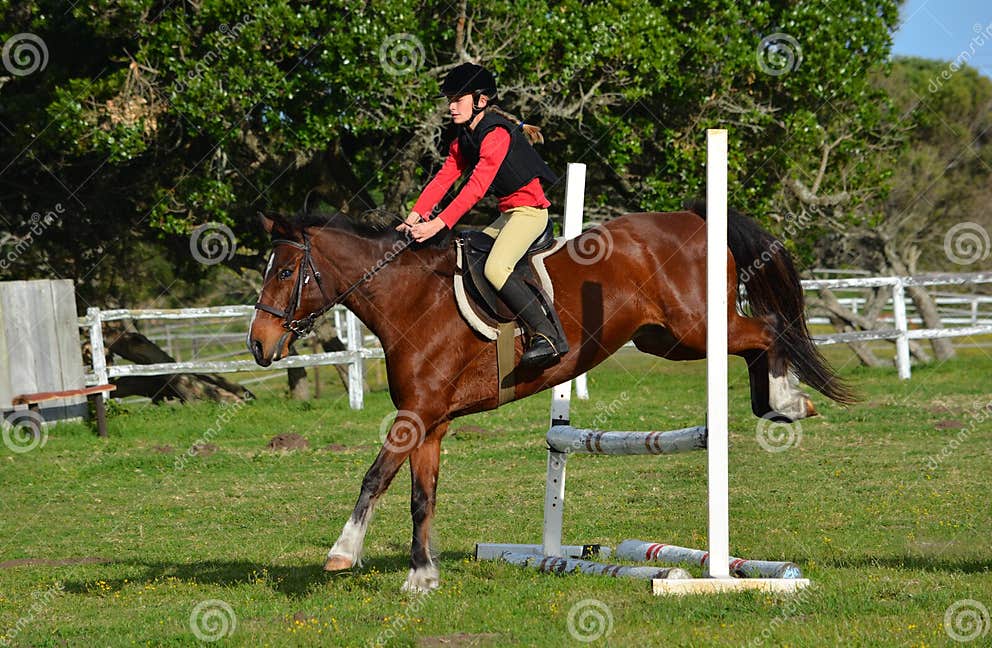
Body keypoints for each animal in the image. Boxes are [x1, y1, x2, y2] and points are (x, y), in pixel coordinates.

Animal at [247, 205, 854, 592]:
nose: (259, 345)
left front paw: (342, 553)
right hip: (668, 340)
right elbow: (422, 496)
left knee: (768, 329)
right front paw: (422, 576)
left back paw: (788, 401)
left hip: (699, 327)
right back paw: (780, 402)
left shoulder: (416, 415)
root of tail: (696, 217)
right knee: (758, 336)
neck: (411, 297)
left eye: (286, 270)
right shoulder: (431, 421)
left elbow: (374, 477)